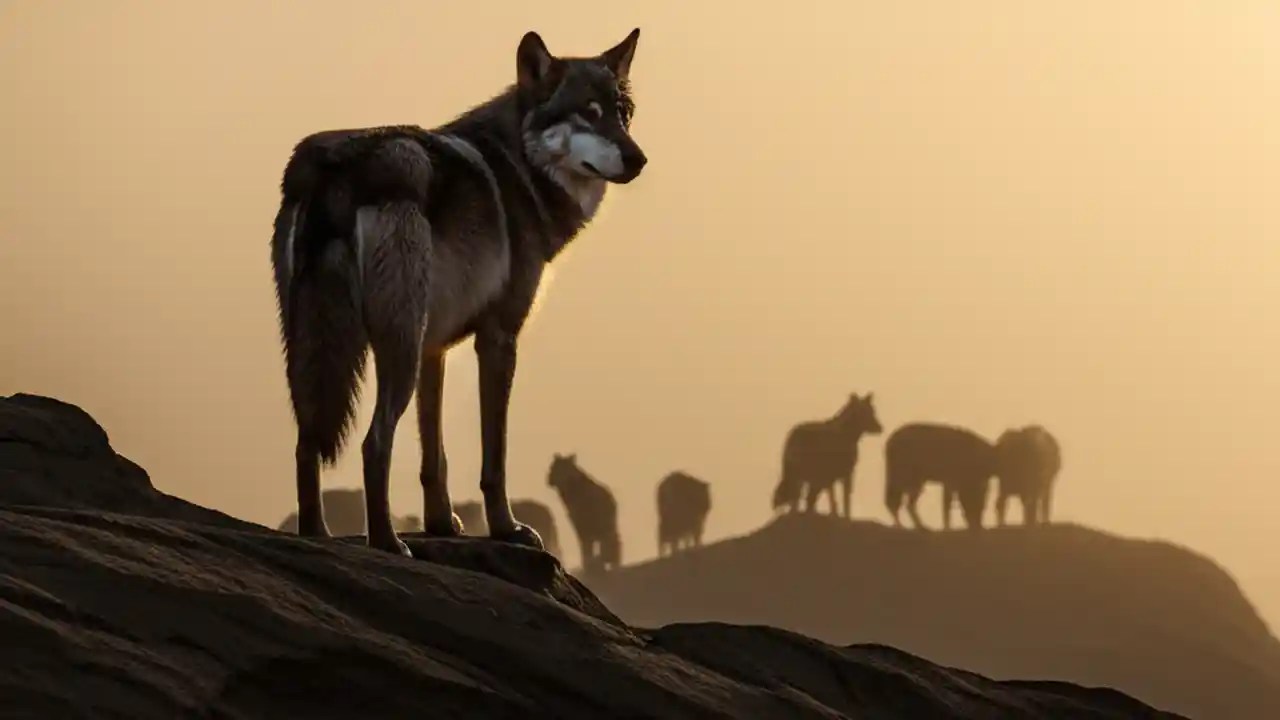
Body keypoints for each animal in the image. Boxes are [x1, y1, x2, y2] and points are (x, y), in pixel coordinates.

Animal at [269, 29, 647, 556]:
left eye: (623, 113)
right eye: (587, 114)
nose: (638, 159)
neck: (520, 168)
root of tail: (334, 168)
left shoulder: (435, 347)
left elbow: (435, 457)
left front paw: (441, 524)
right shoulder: (498, 338)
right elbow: (495, 456)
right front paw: (506, 528)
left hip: (315, 353)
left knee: (307, 443)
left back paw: (317, 536)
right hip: (396, 348)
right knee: (374, 442)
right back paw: (387, 543)